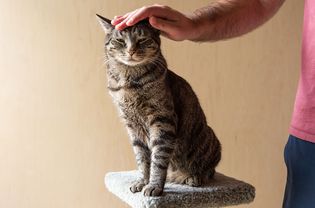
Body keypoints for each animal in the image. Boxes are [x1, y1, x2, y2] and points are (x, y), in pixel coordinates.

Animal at [97, 14, 222, 197]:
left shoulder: (162, 119)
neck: (128, 82)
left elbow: (159, 158)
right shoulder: (132, 125)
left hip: (208, 139)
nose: (131, 50)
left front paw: (154, 186)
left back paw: (192, 177)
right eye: (119, 41)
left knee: (208, 170)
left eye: (142, 40)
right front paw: (142, 182)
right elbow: (142, 159)